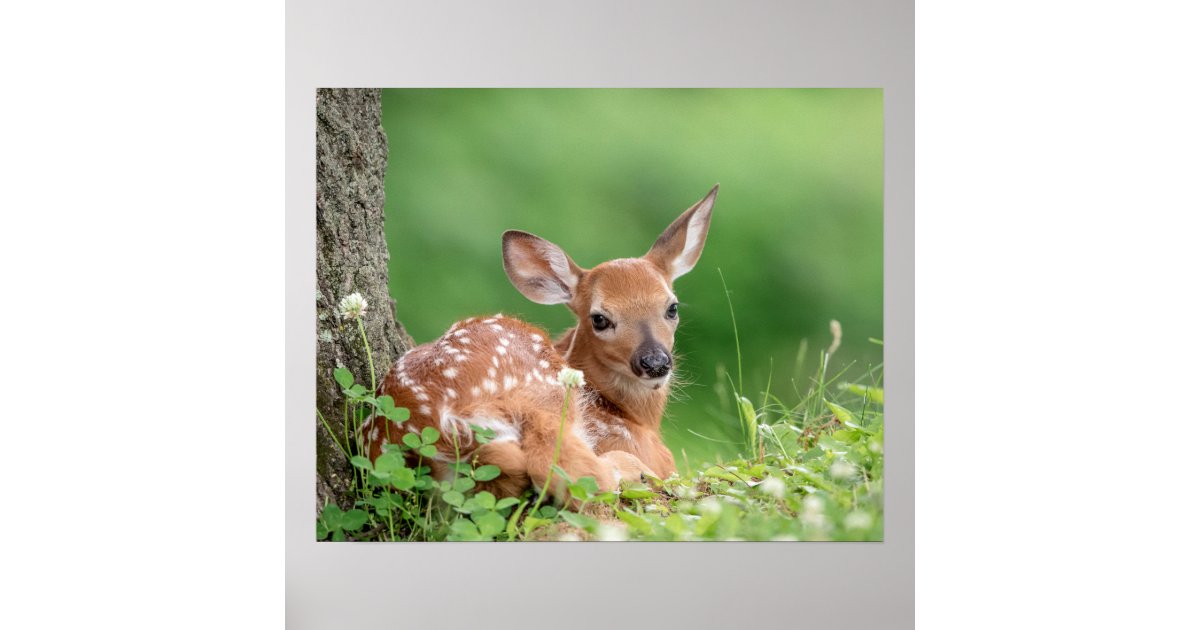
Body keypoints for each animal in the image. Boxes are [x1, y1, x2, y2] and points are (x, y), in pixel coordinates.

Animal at [359, 185, 718, 504]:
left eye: (672, 307)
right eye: (599, 319)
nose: (655, 362)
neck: (632, 416)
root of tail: (441, 424)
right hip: (543, 396)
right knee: (571, 472)